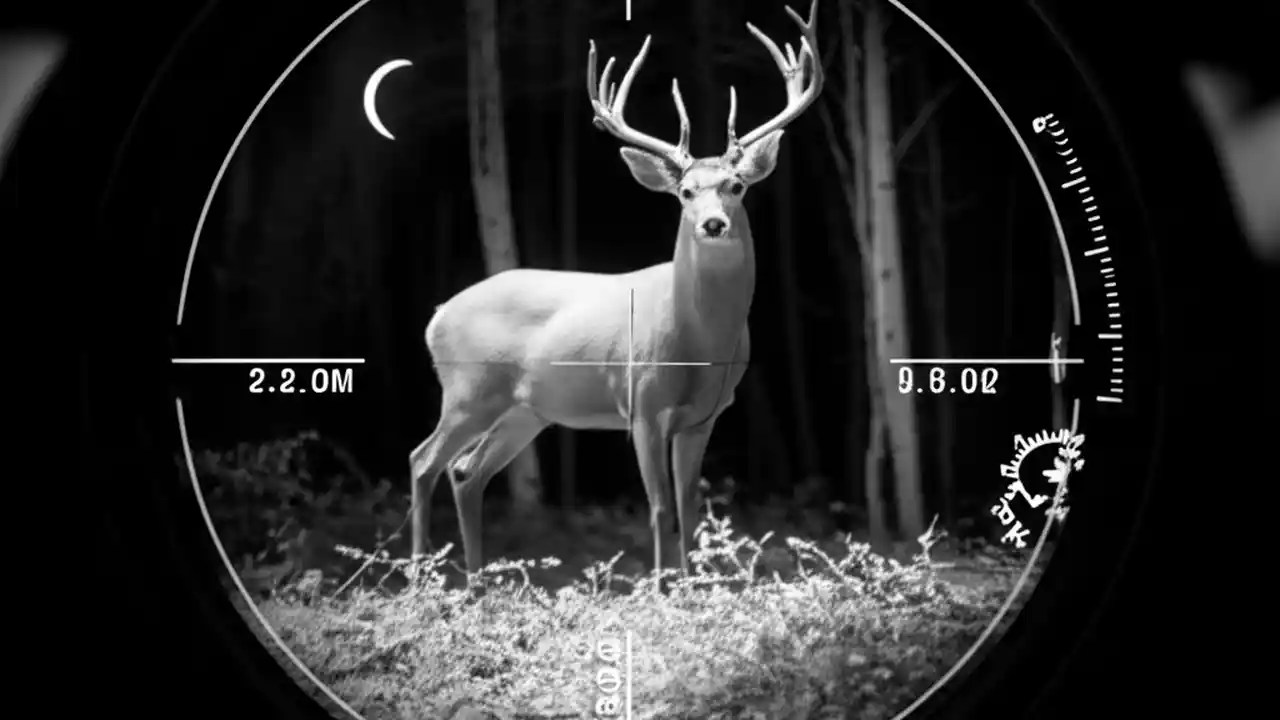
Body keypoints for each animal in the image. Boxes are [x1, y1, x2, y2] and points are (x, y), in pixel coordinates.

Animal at [409, 0, 823, 586]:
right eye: (686, 191)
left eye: (737, 186)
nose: (713, 224)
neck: (699, 344)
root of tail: (438, 315)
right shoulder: (642, 404)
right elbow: (659, 507)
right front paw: (663, 590)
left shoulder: (705, 416)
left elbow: (690, 508)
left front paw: (692, 587)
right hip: (469, 388)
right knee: (423, 461)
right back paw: (420, 581)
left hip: (526, 409)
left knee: (466, 473)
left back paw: (476, 586)